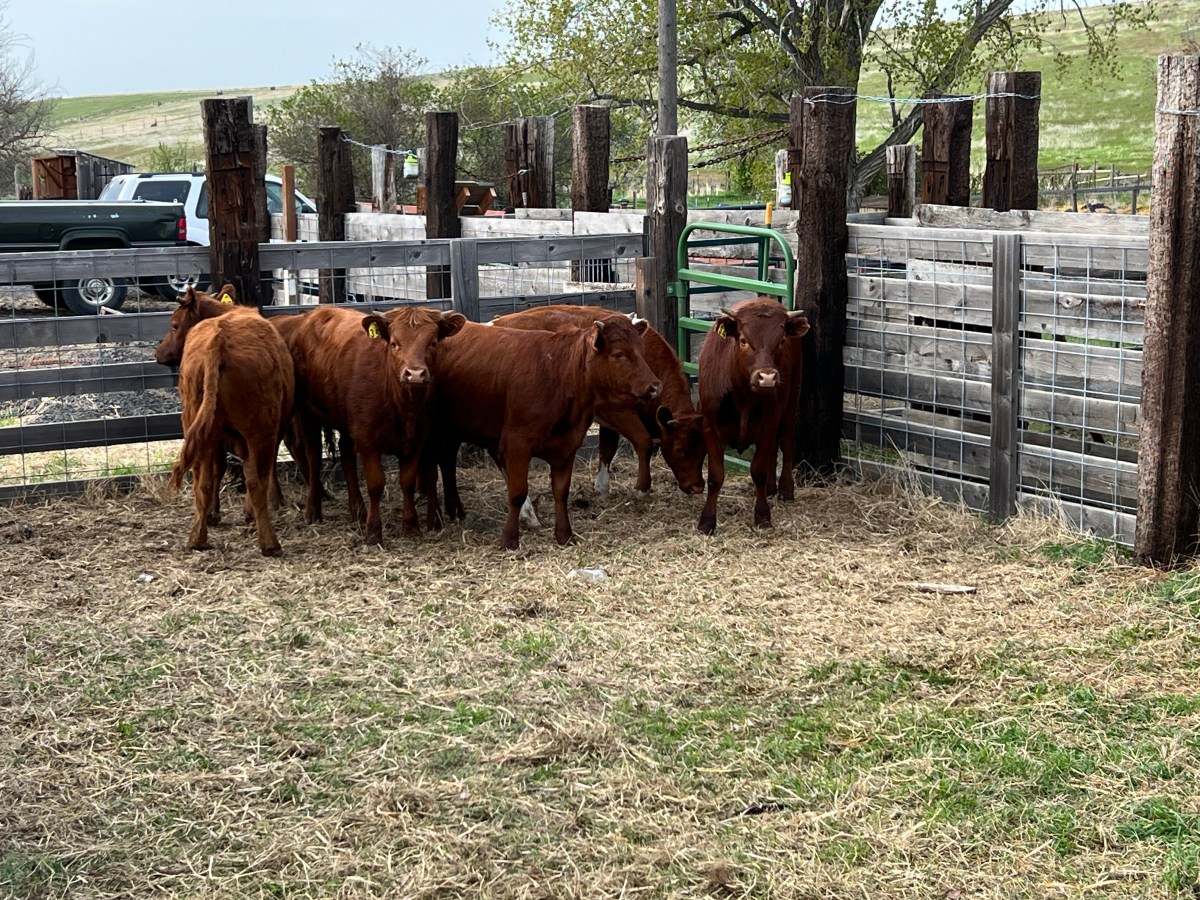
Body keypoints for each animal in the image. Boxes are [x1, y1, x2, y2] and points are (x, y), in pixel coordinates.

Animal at [167, 304, 295, 555]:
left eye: (175, 325)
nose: (159, 354)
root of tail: (218, 340)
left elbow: (218, 472)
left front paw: (214, 513)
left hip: (196, 426)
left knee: (202, 482)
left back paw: (197, 538)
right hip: (261, 431)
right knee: (257, 481)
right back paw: (269, 543)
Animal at [282, 305, 466, 545]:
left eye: (433, 343)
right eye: (394, 343)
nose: (415, 374)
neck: (401, 404)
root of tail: (315, 313)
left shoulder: (416, 440)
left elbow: (407, 482)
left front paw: (411, 525)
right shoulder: (367, 441)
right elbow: (376, 484)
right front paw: (373, 531)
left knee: (346, 456)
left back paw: (358, 510)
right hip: (306, 412)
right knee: (313, 457)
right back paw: (313, 510)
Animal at [422, 315, 661, 551]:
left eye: (642, 350)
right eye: (618, 354)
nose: (654, 386)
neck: (558, 373)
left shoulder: (568, 446)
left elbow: (561, 492)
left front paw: (564, 535)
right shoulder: (517, 445)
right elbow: (517, 493)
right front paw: (509, 539)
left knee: (447, 462)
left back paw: (454, 510)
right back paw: (435, 518)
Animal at [490, 305, 705, 498]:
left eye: (704, 451)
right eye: (679, 449)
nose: (697, 487)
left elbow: (608, 449)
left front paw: (602, 488)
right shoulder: (617, 411)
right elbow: (644, 442)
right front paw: (642, 488)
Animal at [696, 296, 810, 536]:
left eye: (781, 341)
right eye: (743, 340)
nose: (766, 377)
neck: (742, 397)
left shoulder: (768, 424)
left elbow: (758, 471)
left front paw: (763, 516)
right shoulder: (710, 428)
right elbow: (715, 476)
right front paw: (707, 522)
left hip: (791, 401)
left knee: (786, 441)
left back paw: (785, 489)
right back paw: (771, 489)